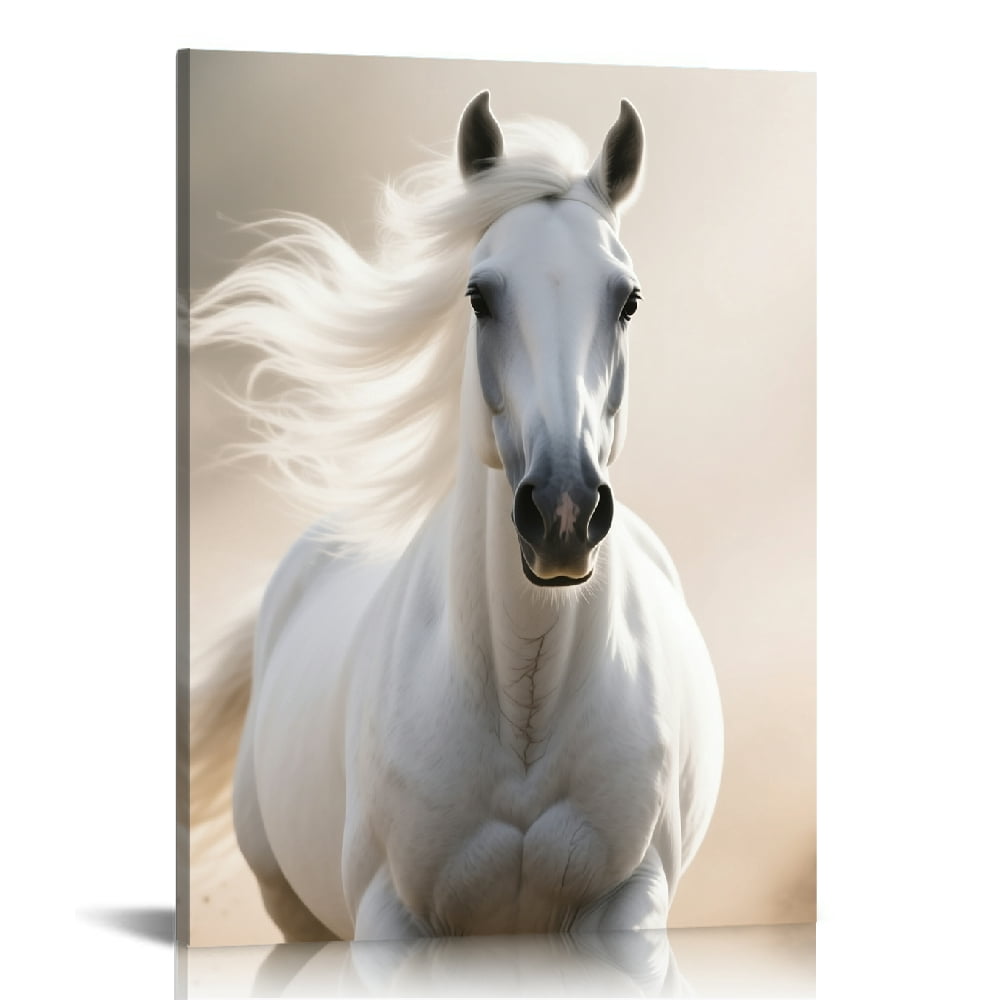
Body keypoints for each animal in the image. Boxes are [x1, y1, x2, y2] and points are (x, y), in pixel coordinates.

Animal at [189, 91, 724, 943]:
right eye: (480, 295)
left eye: (628, 300)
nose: (563, 510)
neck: (523, 702)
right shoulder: (391, 922)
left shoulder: (627, 910)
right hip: (294, 915)